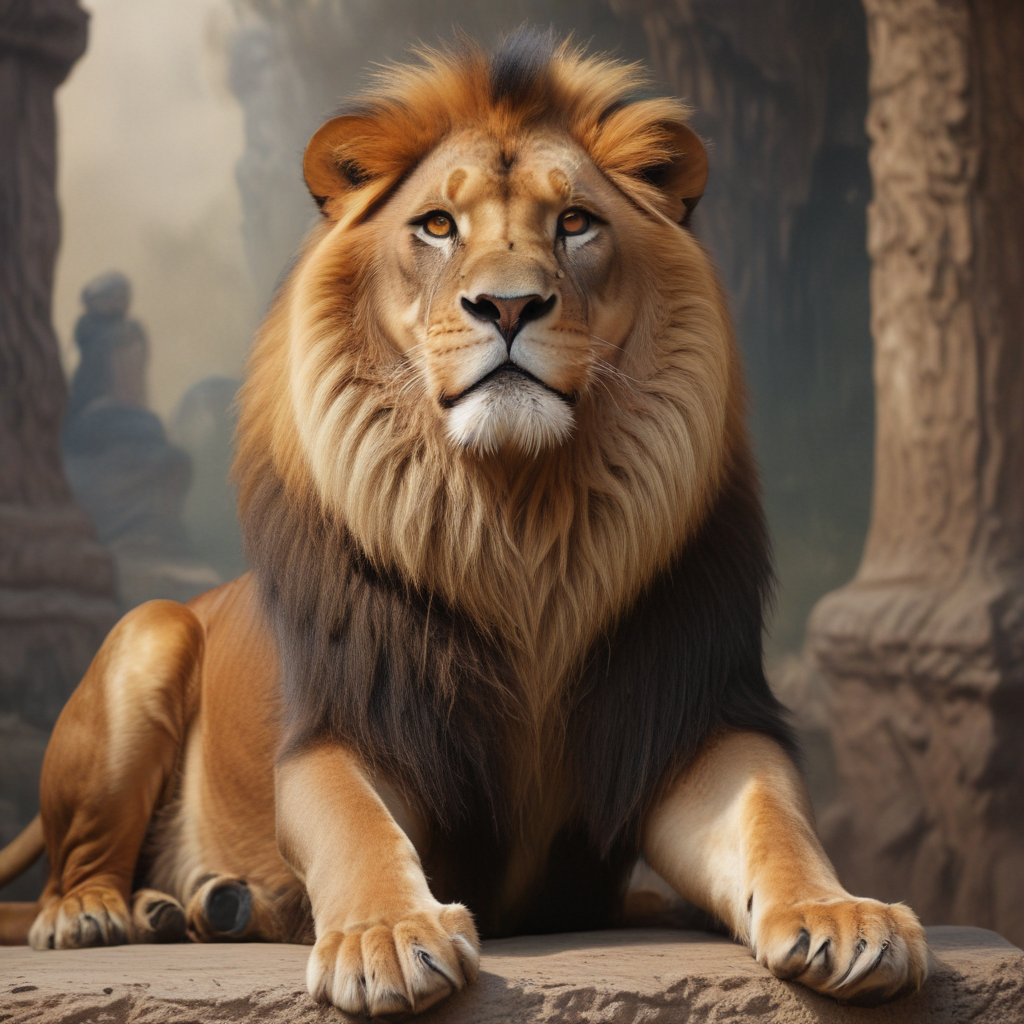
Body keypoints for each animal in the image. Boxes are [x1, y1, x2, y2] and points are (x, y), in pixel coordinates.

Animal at [0, 31, 928, 1014]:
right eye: (438, 226)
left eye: (576, 223)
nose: (509, 306)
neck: (518, 522)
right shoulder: (351, 720)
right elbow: (358, 826)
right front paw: (385, 937)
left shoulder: (696, 714)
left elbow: (775, 816)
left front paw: (841, 915)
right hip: (149, 633)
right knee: (69, 870)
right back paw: (103, 913)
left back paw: (203, 905)